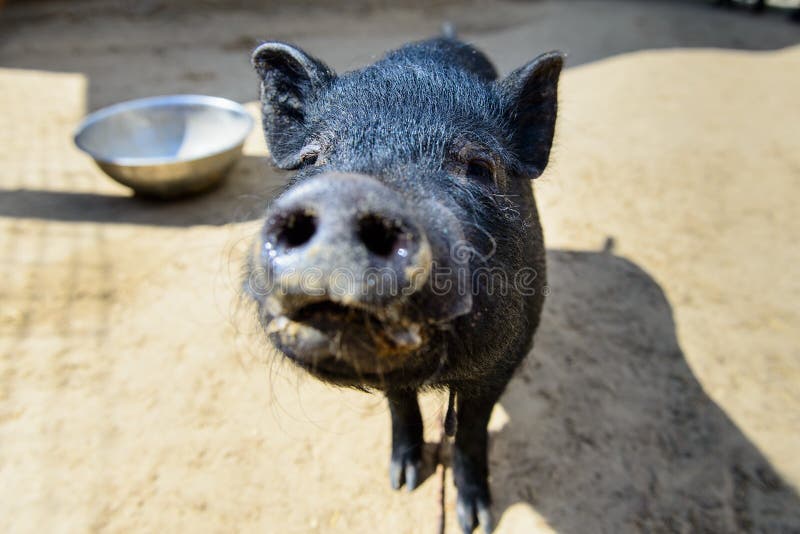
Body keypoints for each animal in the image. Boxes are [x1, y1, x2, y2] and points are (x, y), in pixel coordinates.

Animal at [246, 29, 563, 533]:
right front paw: (403, 481)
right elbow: (399, 402)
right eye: (312, 157)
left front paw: (475, 519)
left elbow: (472, 428)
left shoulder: (507, 355)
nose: (347, 193)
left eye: (479, 166)